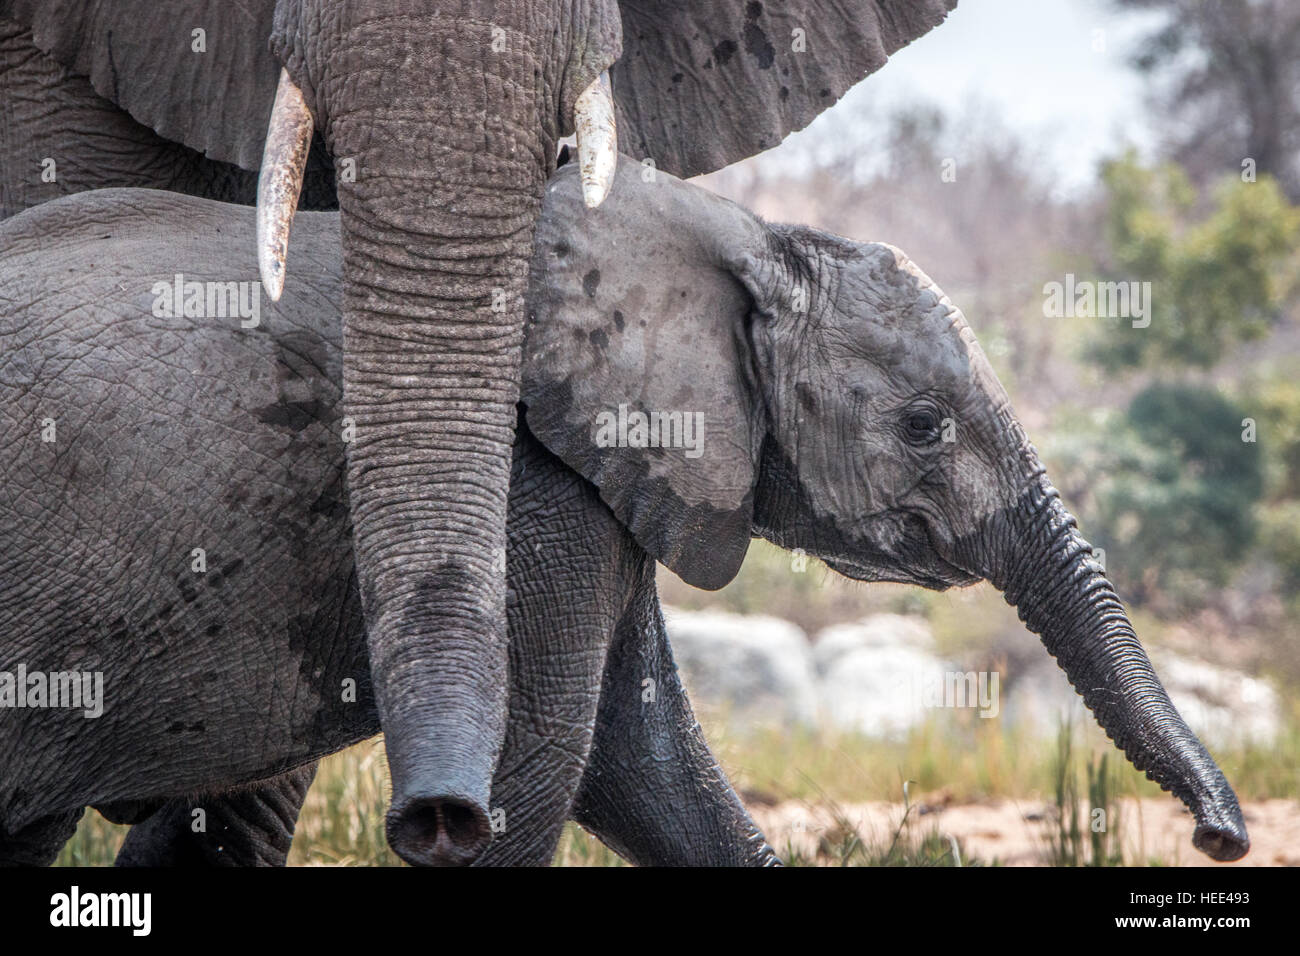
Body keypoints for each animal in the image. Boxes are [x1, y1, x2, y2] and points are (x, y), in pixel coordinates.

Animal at [0, 155, 1249, 865]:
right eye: (924, 425)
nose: (1218, 835)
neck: (739, 233)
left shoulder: (613, 478)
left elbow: (644, 767)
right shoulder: (525, 474)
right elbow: (545, 760)